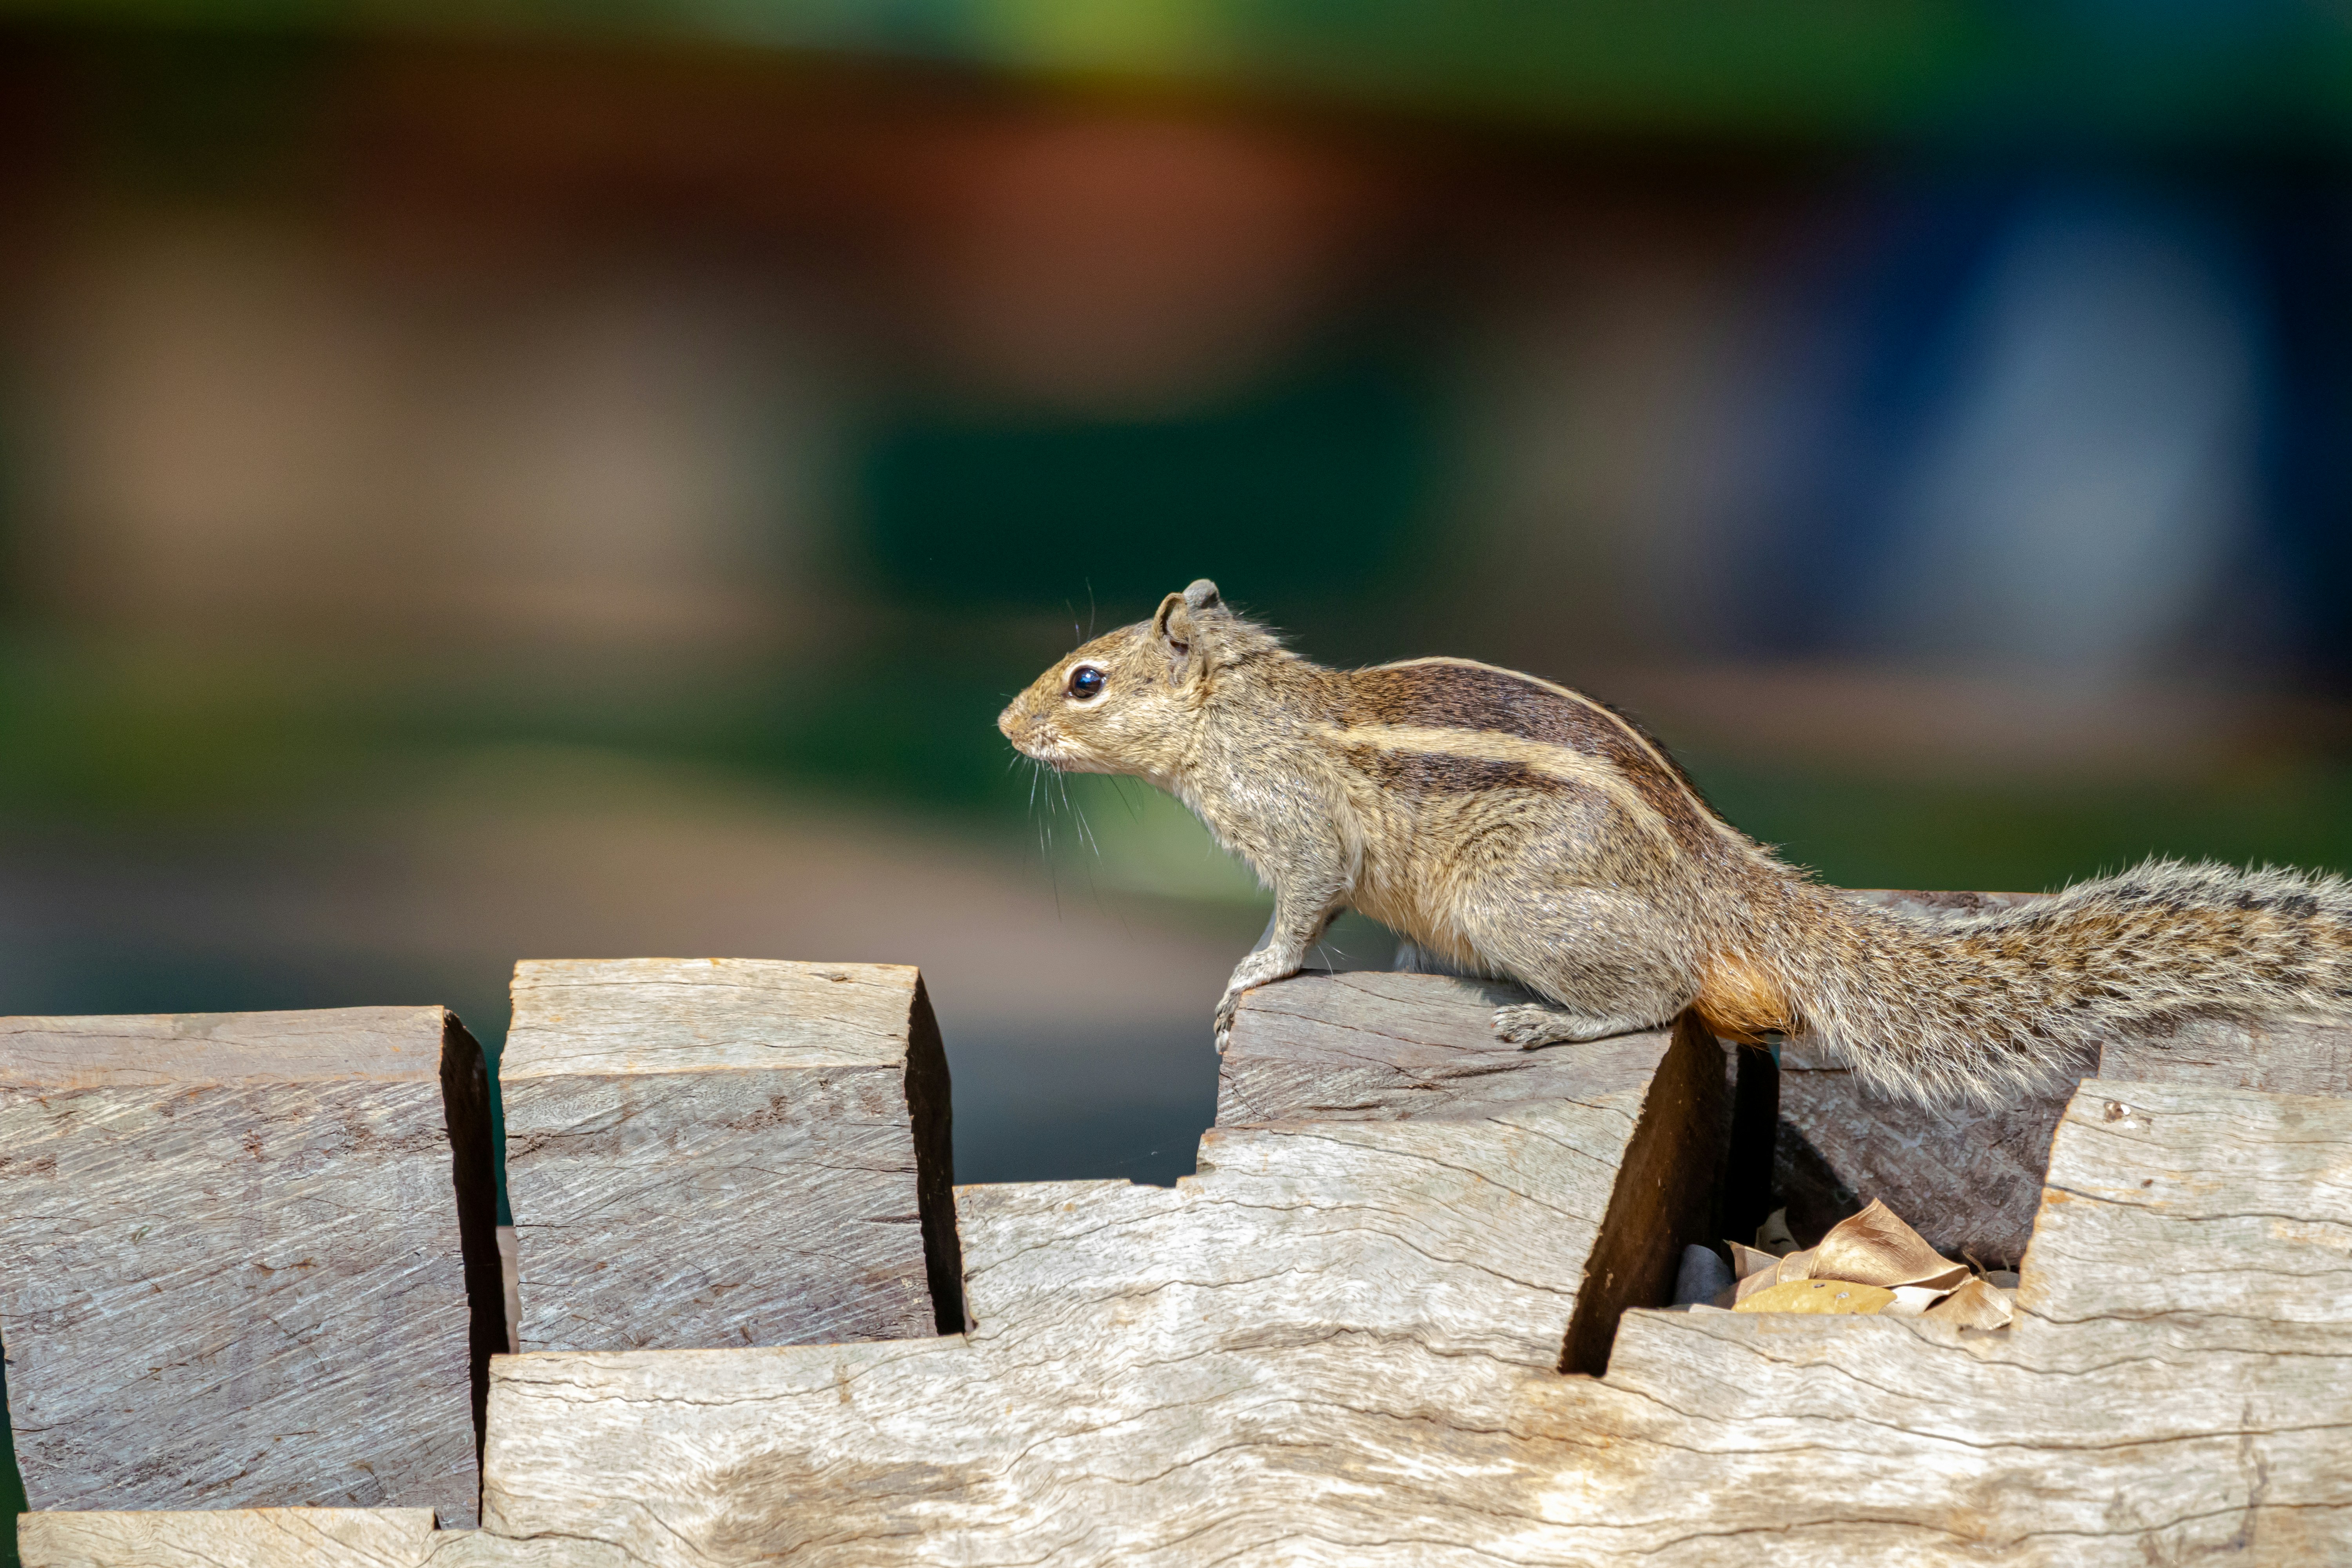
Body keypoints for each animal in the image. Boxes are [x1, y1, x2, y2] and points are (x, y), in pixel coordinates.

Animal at [998, 578, 2352, 1105]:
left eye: (1084, 681)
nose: (1004, 725)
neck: (1241, 714)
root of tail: (1722, 884)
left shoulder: (1301, 836)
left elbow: (1299, 912)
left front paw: (1248, 979)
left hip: (1527, 904)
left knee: (1656, 994)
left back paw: (1556, 1021)